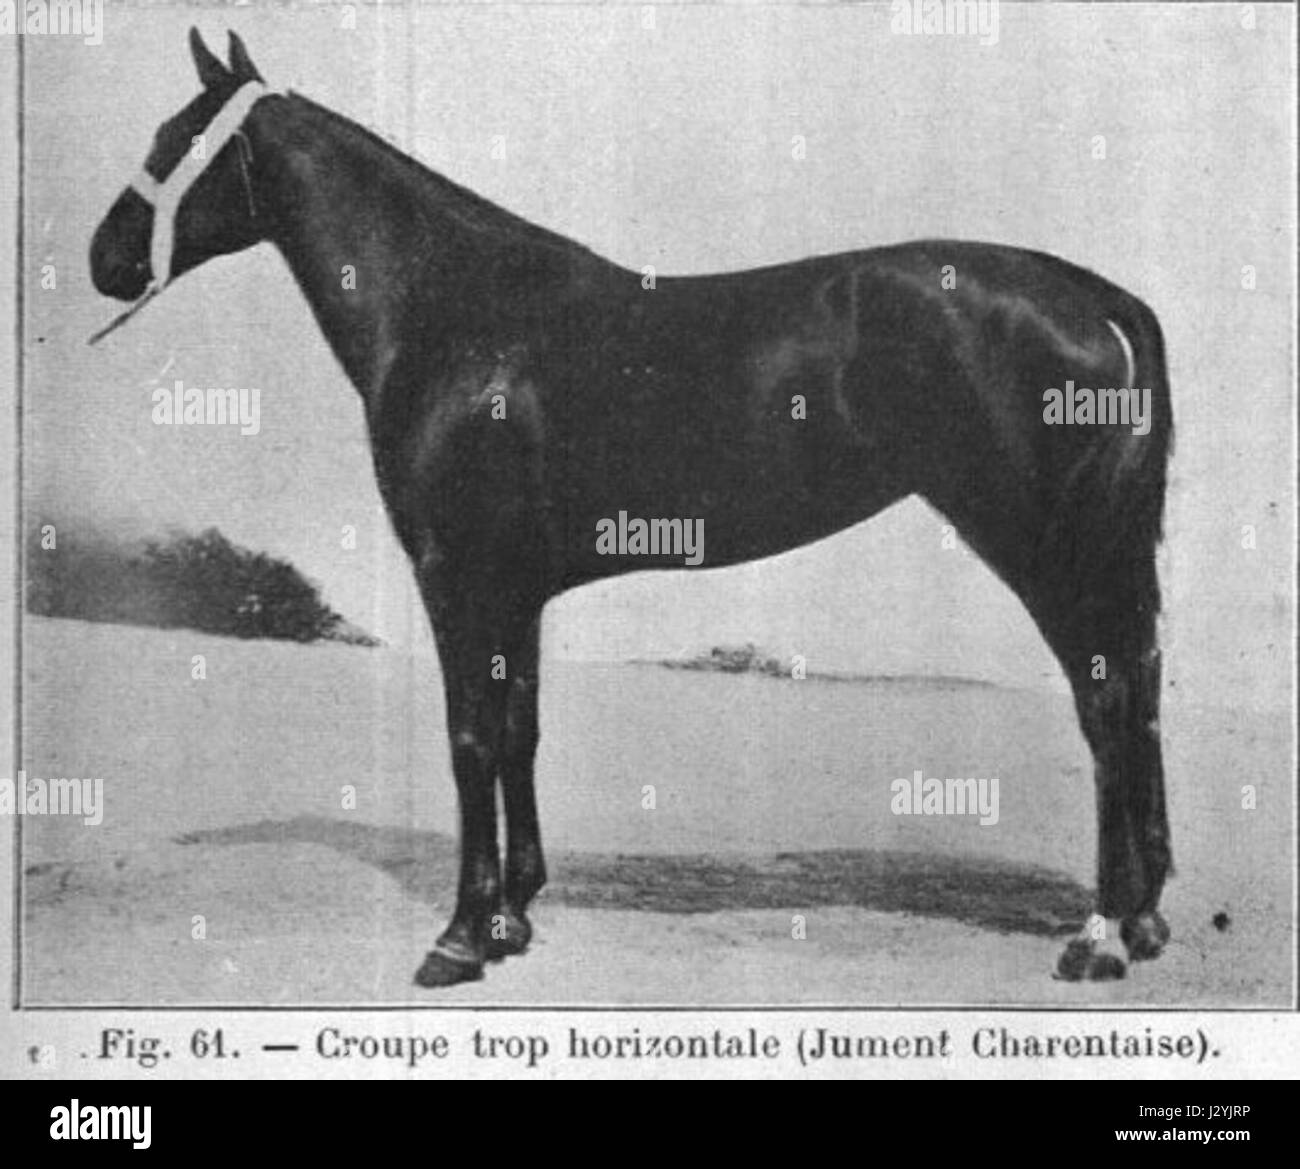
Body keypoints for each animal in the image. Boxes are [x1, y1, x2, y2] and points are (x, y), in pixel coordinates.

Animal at [90, 29, 1174, 988]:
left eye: (174, 140)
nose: (104, 258)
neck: (456, 309)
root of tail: (1097, 298)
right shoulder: (515, 588)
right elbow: (519, 729)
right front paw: (513, 915)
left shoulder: (457, 574)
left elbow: (470, 739)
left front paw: (458, 936)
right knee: (1141, 686)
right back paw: (1147, 914)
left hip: (1045, 547)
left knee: (1108, 699)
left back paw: (1099, 935)